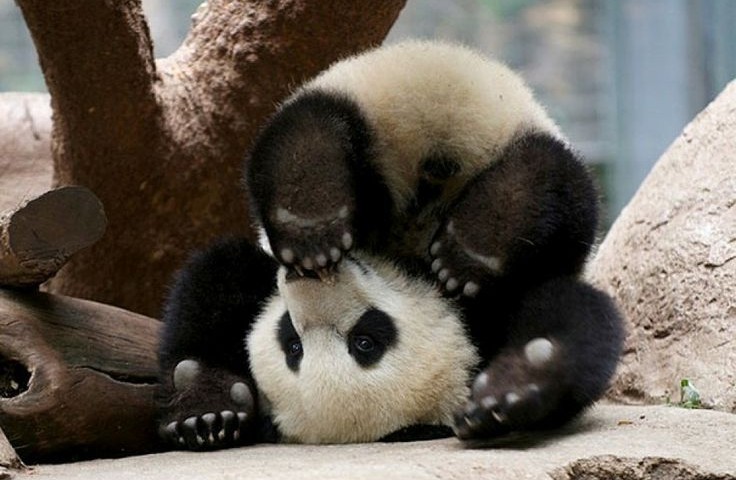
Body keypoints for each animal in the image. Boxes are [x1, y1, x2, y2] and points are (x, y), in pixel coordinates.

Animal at [156, 40, 624, 450]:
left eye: (366, 342)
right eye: (291, 343)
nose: (308, 281)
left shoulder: (495, 308)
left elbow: (576, 316)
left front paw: (513, 387)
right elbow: (216, 280)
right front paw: (207, 406)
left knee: (550, 181)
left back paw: (461, 252)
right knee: (312, 128)